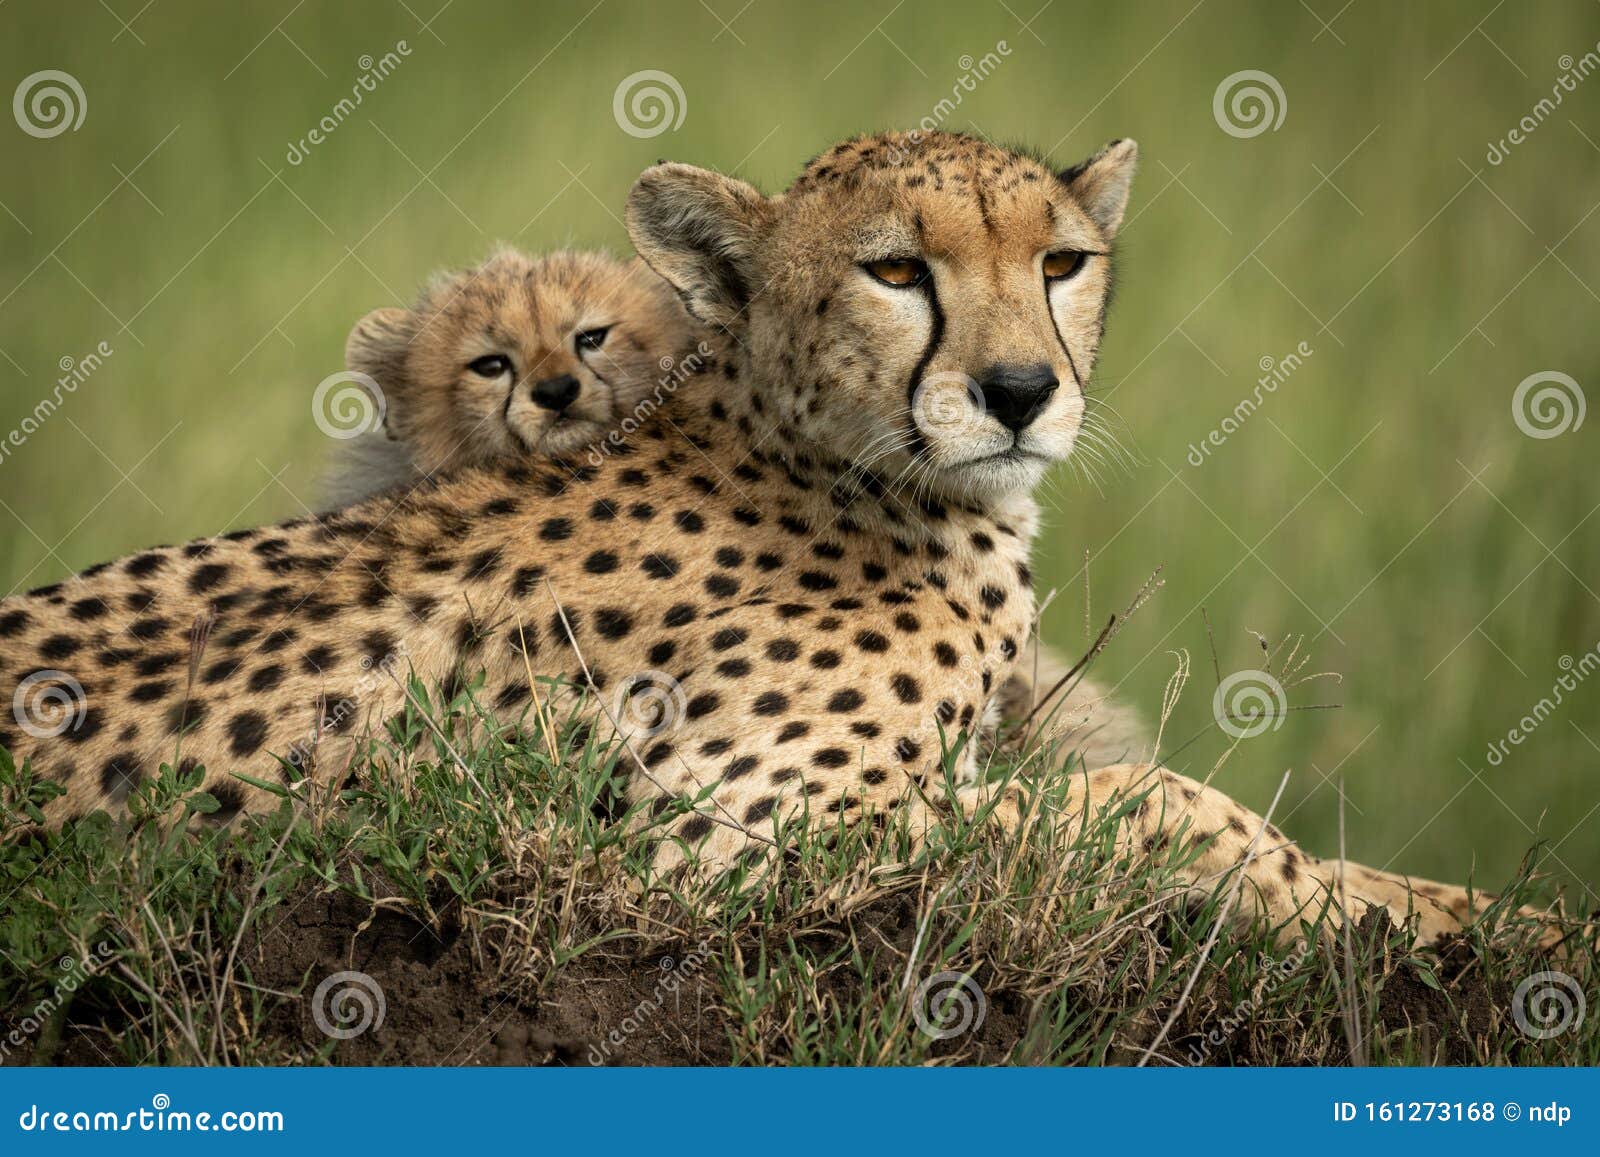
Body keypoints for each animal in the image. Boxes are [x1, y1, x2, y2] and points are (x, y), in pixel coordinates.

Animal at [0, 131, 1550, 949]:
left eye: (1060, 261)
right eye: (896, 269)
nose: (1020, 391)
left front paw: (1486, 912)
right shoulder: (731, 835)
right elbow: (1154, 803)